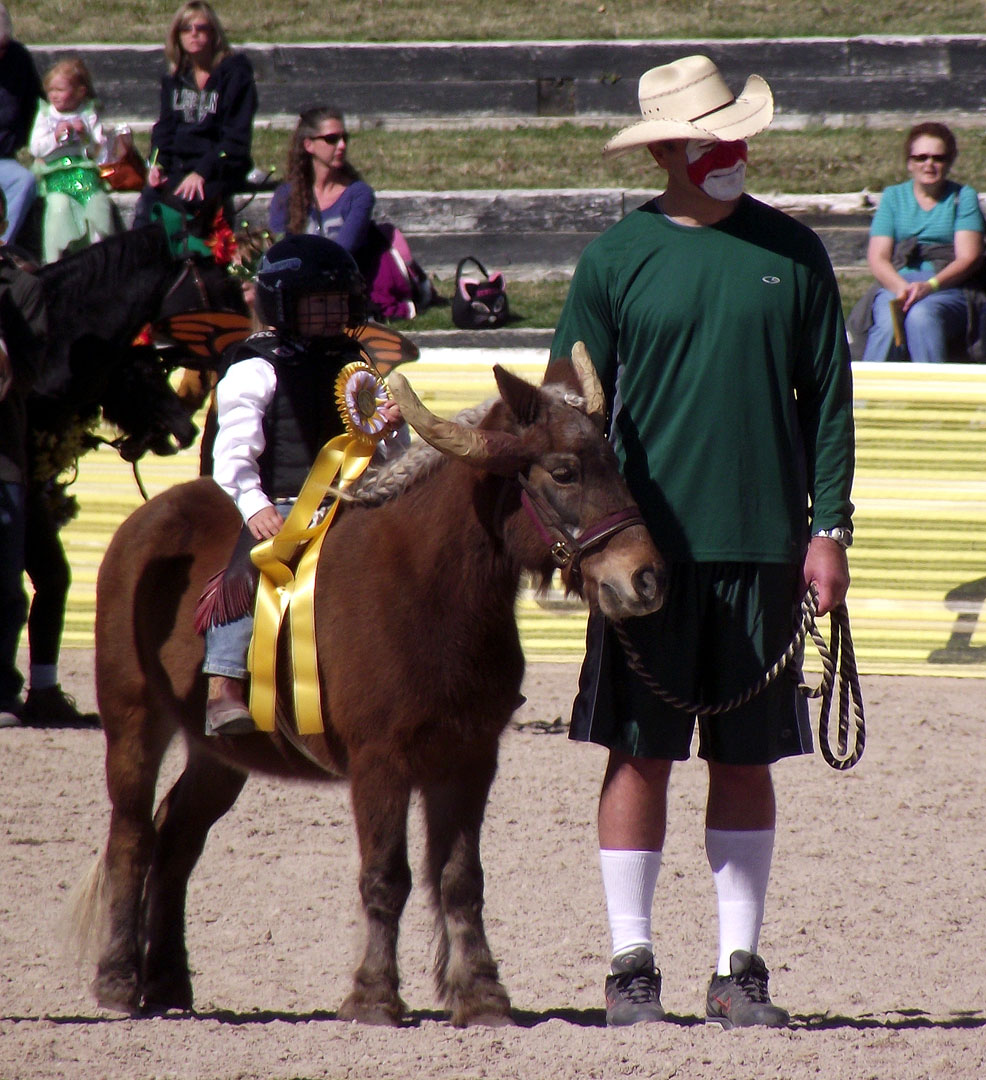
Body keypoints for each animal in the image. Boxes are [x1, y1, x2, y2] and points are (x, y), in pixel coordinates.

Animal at [74, 350, 666, 1026]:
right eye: (564, 472)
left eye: (614, 463)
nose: (645, 579)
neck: (430, 589)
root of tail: (143, 526)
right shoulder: (379, 761)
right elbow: (386, 877)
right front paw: (374, 995)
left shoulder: (469, 758)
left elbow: (460, 878)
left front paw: (480, 994)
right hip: (134, 719)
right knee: (132, 834)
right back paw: (119, 979)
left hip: (219, 756)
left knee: (176, 836)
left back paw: (169, 981)